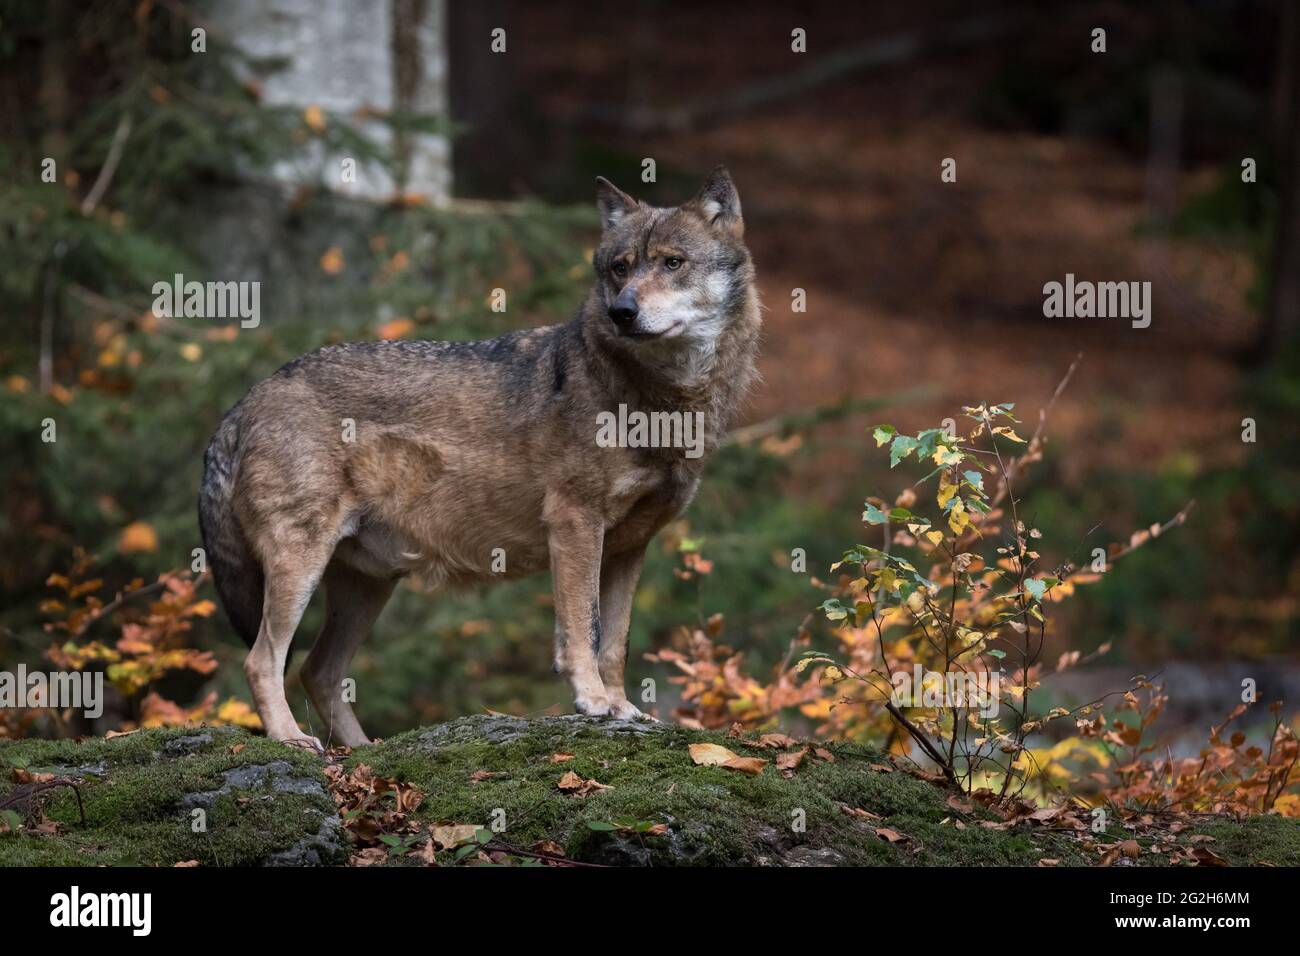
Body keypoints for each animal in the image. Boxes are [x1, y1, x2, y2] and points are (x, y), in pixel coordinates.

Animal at [198, 167, 760, 750]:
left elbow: (615, 642)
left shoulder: (629, 548)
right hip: (302, 566)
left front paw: (623, 707)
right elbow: (581, 629)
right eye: (619, 268)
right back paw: (291, 740)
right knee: (262, 661)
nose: (622, 311)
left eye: (673, 262)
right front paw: (594, 702)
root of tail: (245, 401)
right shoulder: (575, 523)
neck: (663, 403)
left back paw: (362, 750)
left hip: (366, 586)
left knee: (318, 671)